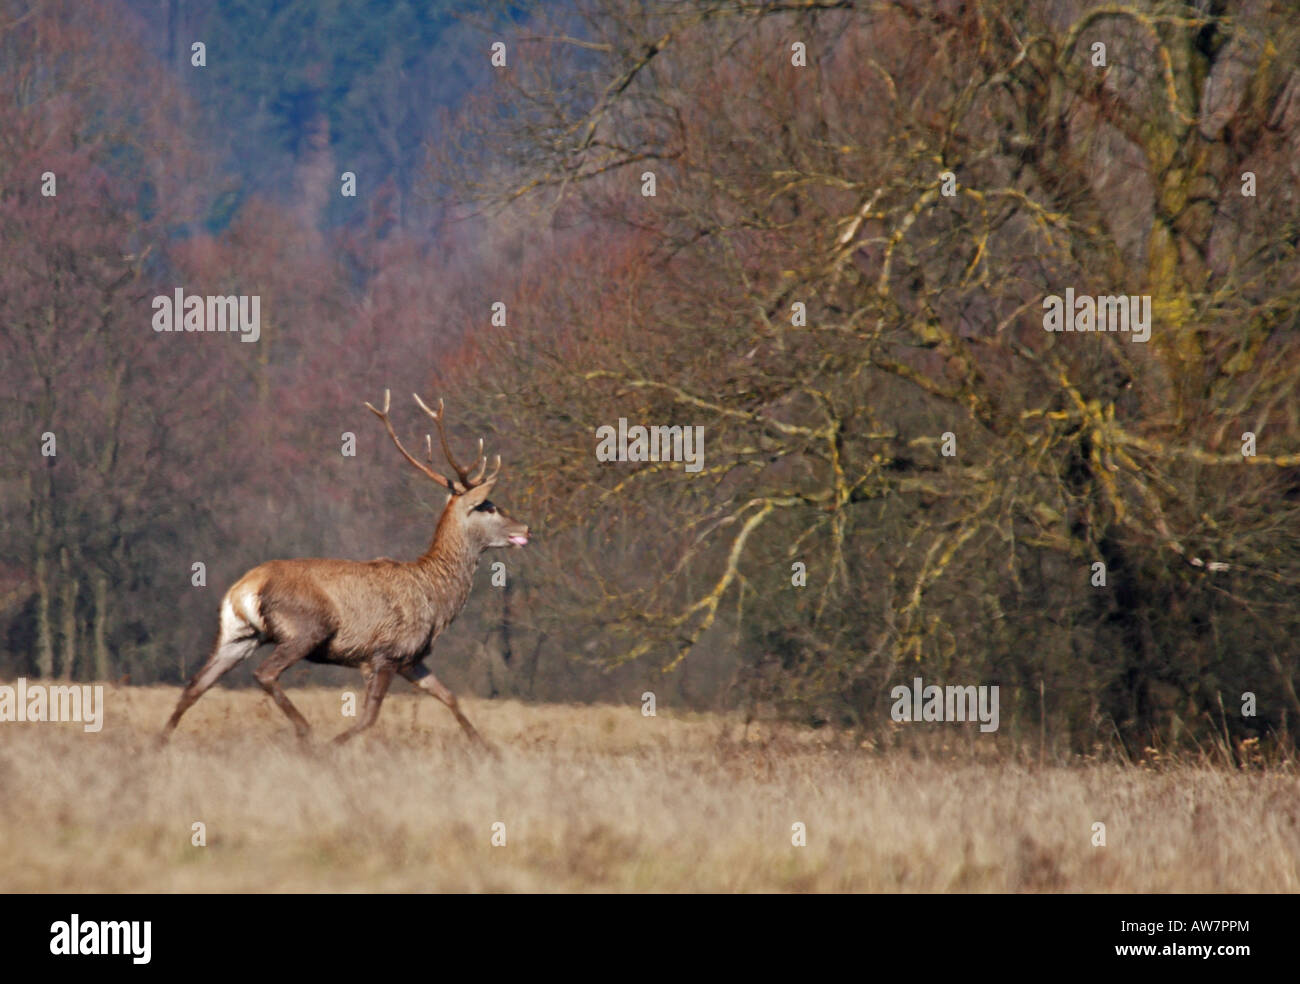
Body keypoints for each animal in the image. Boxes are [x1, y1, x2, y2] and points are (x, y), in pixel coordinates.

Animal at [160, 391, 529, 749]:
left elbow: (450, 697)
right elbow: (369, 717)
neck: (436, 600)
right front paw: (334, 746)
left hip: (237, 634)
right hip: (306, 628)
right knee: (263, 673)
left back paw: (158, 744)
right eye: (489, 506)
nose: (524, 527)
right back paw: (307, 733)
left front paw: (488, 750)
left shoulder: (411, 658)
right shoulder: (385, 652)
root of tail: (244, 588)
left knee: (194, 686)